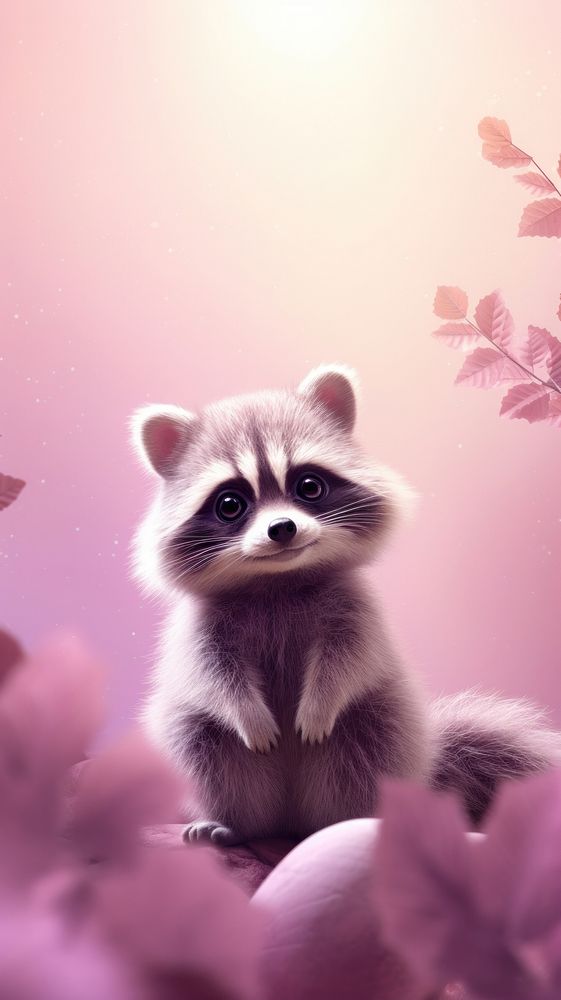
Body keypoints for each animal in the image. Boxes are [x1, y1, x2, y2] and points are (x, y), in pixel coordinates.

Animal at [131, 365, 561, 844]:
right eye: (229, 504)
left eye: (308, 486)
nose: (282, 529)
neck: (278, 581)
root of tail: (291, 819)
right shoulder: (202, 626)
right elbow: (214, 675)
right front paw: (247, 714)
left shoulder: (355, 605)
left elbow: (350, 656)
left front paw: (319, 705)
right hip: (208, 747)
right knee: (201, 743)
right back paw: (232, 822)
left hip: (383, 721)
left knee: (366, 746)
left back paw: (352, 819)